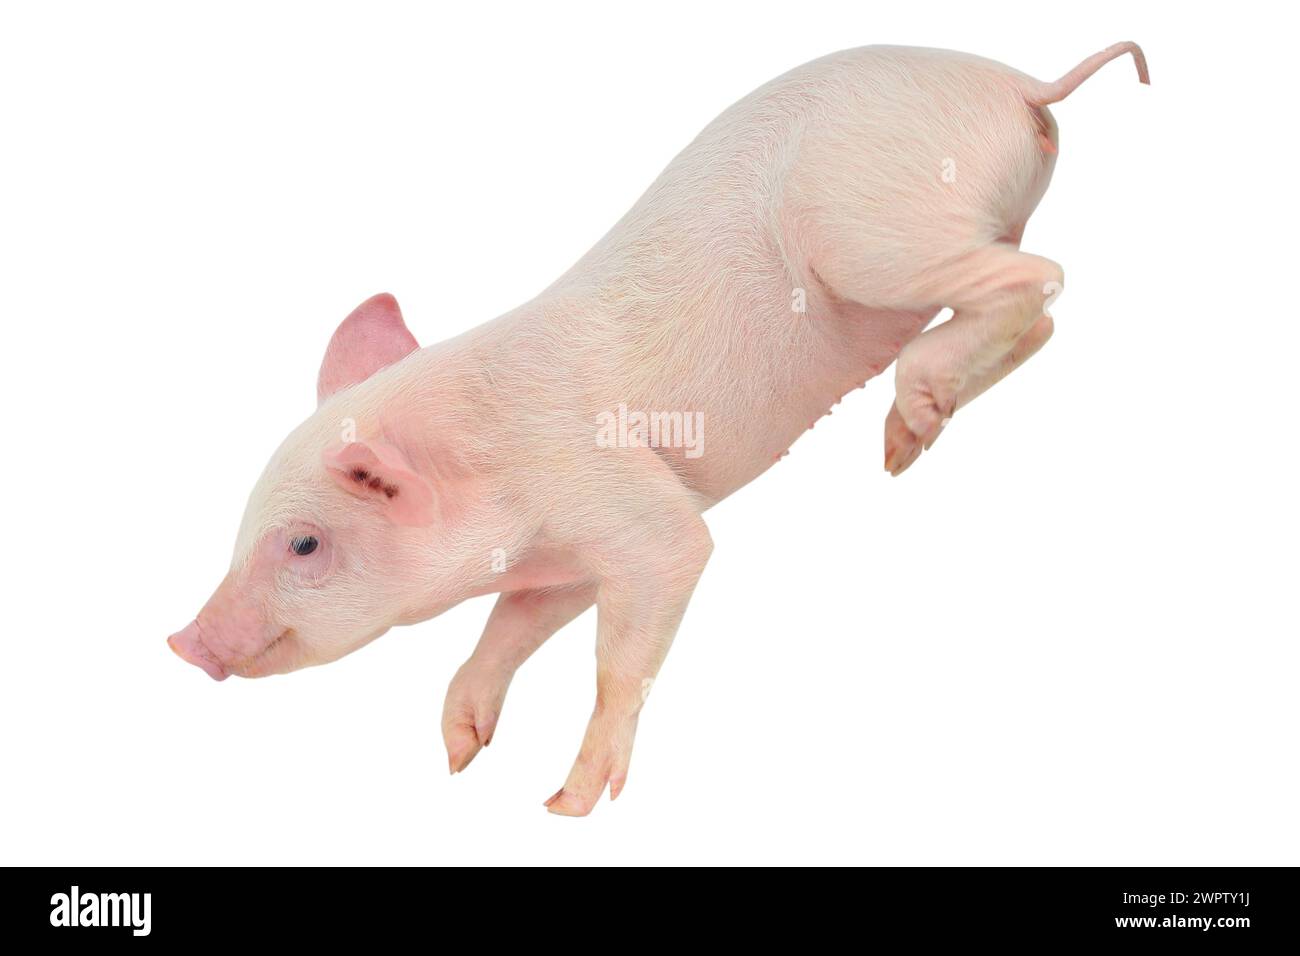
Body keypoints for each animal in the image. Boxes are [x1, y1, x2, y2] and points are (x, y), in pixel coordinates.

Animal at [168, 42, 1148, 815]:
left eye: (303, 544)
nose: (183, 640)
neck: (494, 467)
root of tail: (1015, 82)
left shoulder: (632, 509)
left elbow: (640, 618)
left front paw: (563, 806)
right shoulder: (563, 562)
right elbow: (511, 627)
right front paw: (457, 755)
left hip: (876, 235)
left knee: (1041, 276)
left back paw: (902, 431)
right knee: (1037, 315)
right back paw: (908, 446)